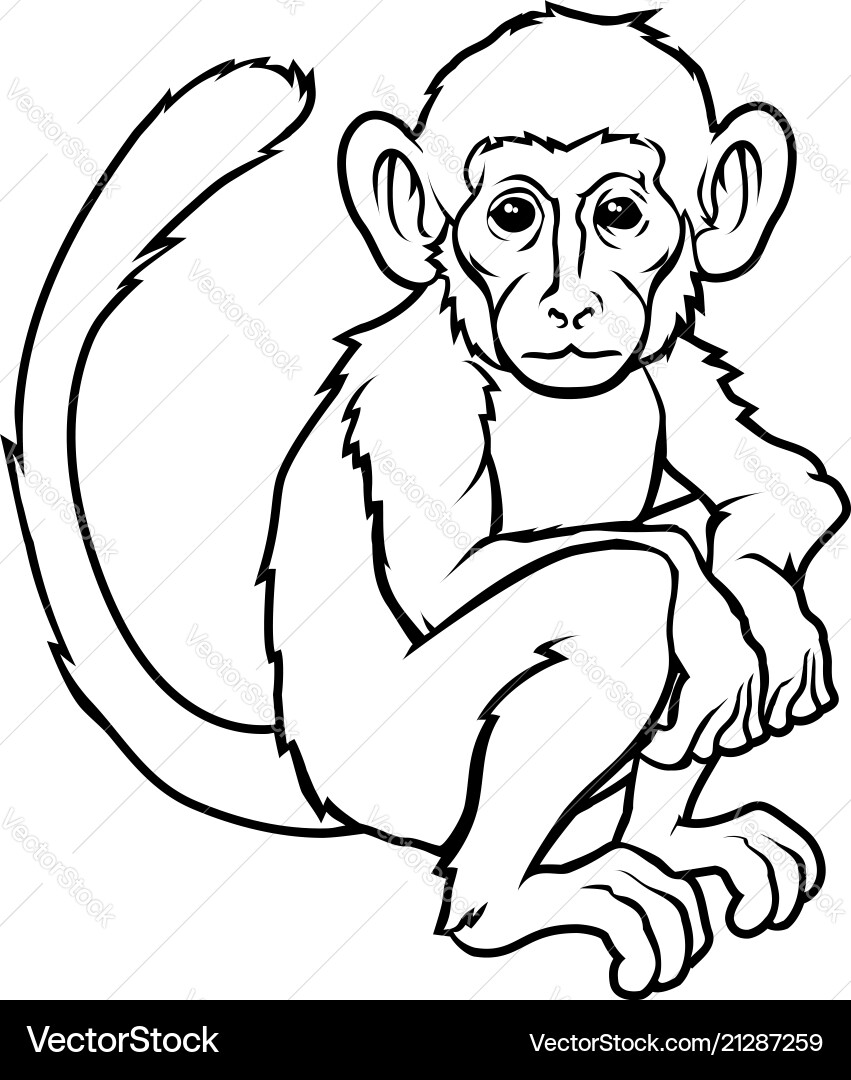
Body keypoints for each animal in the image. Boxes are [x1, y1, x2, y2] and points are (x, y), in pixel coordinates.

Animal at [6, 6, 848, 999]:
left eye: (619, 215)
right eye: (513, 215)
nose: (569, 306)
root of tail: (301, 759)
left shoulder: (664, 360)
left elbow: (787, 491)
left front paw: (764, 602)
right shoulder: (417, 392)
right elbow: (474, 578)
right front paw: (715, 606)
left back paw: (666, 837)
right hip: (405, 765)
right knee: (624, 592)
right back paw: (508, 901)